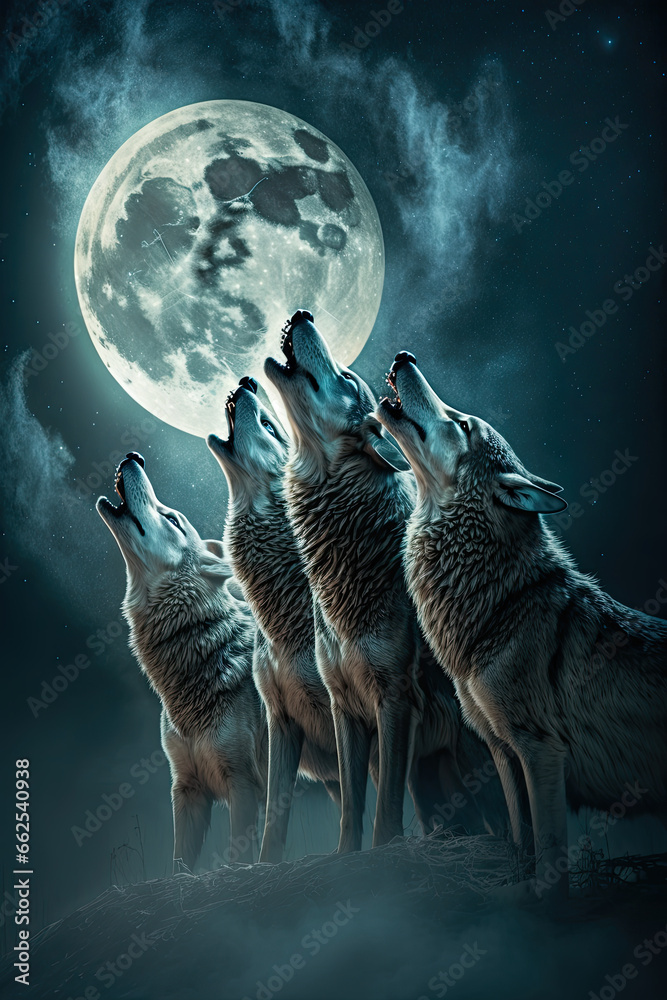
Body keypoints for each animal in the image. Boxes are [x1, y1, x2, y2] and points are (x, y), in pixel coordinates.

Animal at [97, 453, 267, 872]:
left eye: (172, 519)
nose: (135, 457)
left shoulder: (244, 785)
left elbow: (239, 856)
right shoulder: (186, 789)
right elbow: (179, 865)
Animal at [265, 311, 507, 853]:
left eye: (346, 377)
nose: (303, 314)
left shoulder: (395, 700)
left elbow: (384, 817)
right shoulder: (344, 709)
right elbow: (351, 813)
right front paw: (345, 861)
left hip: (471, 759)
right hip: (435, 780)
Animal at [378, 351, 667, 892]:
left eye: (463, 424)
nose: (405, 357)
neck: (500, 604)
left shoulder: (541, 752)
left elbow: (550, 864)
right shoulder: (502, 751)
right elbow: (521, 848)